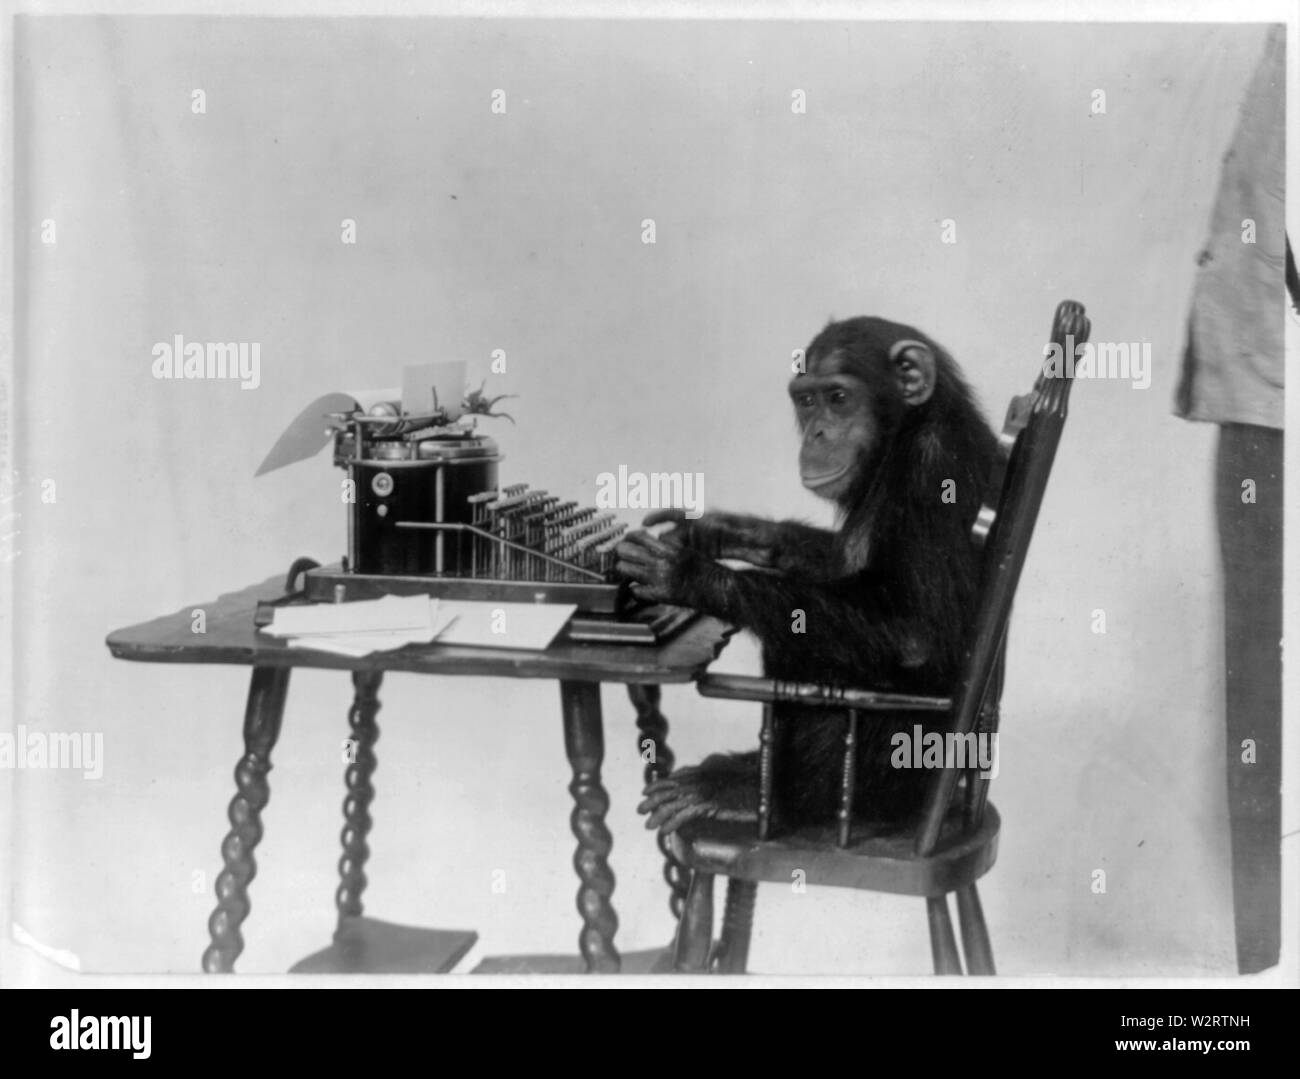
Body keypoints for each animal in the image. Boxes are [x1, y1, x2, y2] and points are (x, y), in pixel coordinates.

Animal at [615, 317, 1000, 835]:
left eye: (838, 397)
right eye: (807, 400)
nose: (817, 433)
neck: (903, 436)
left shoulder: (935, 474)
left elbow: (916, 634)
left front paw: (688, 575)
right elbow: (839, 562)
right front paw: (711, 531)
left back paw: (755, 794)